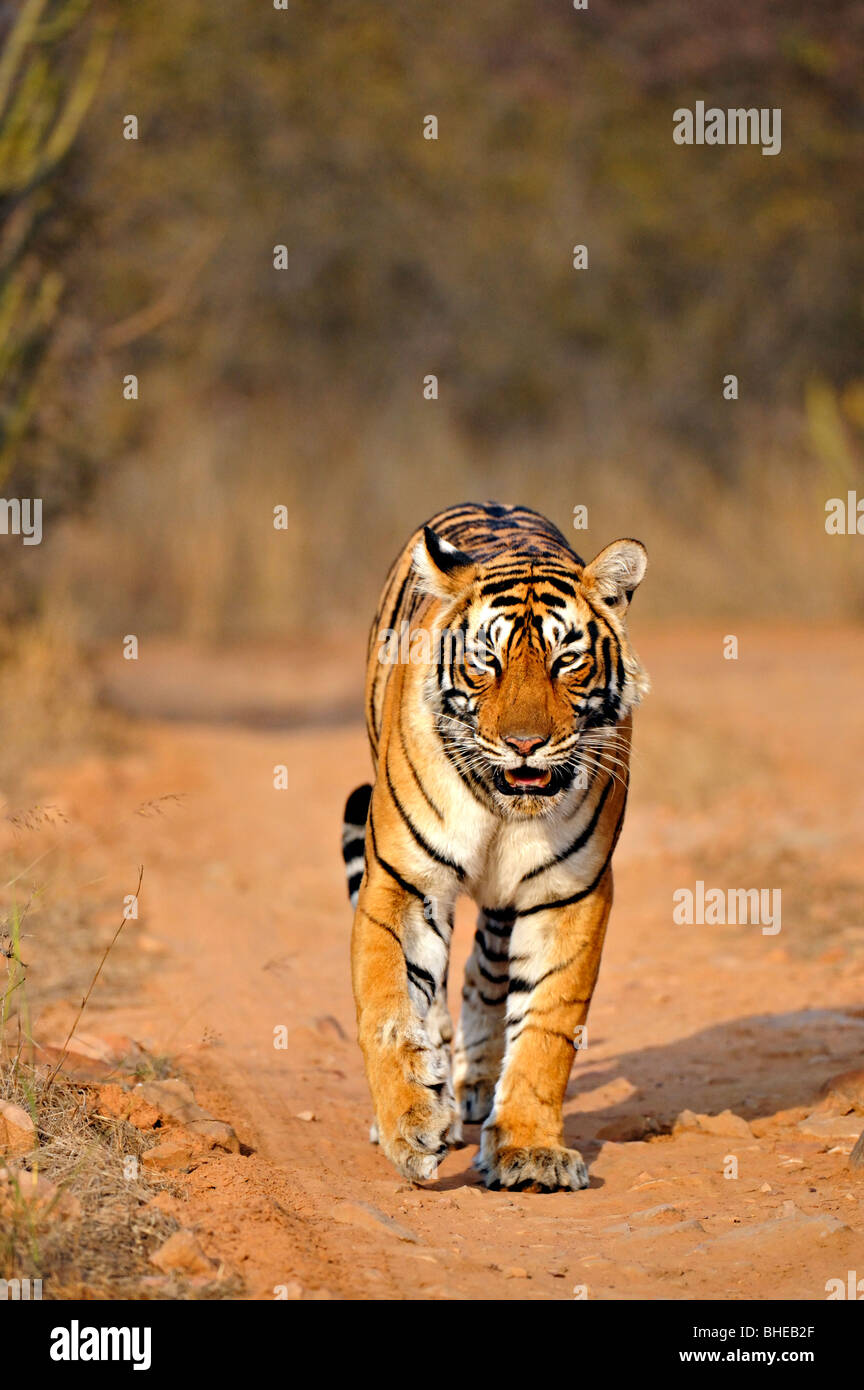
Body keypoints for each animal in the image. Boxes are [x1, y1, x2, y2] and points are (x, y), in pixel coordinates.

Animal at [342, 501, 649, 1191]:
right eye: (487, 661)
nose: (525, 744)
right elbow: (388, 1006)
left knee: (484, 975)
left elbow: (547, 1026)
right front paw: (410, 1125)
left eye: (567, 661)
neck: (504, 806)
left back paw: (476, 1088)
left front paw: (529, 1151)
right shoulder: (402, 881)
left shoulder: (571, 892)